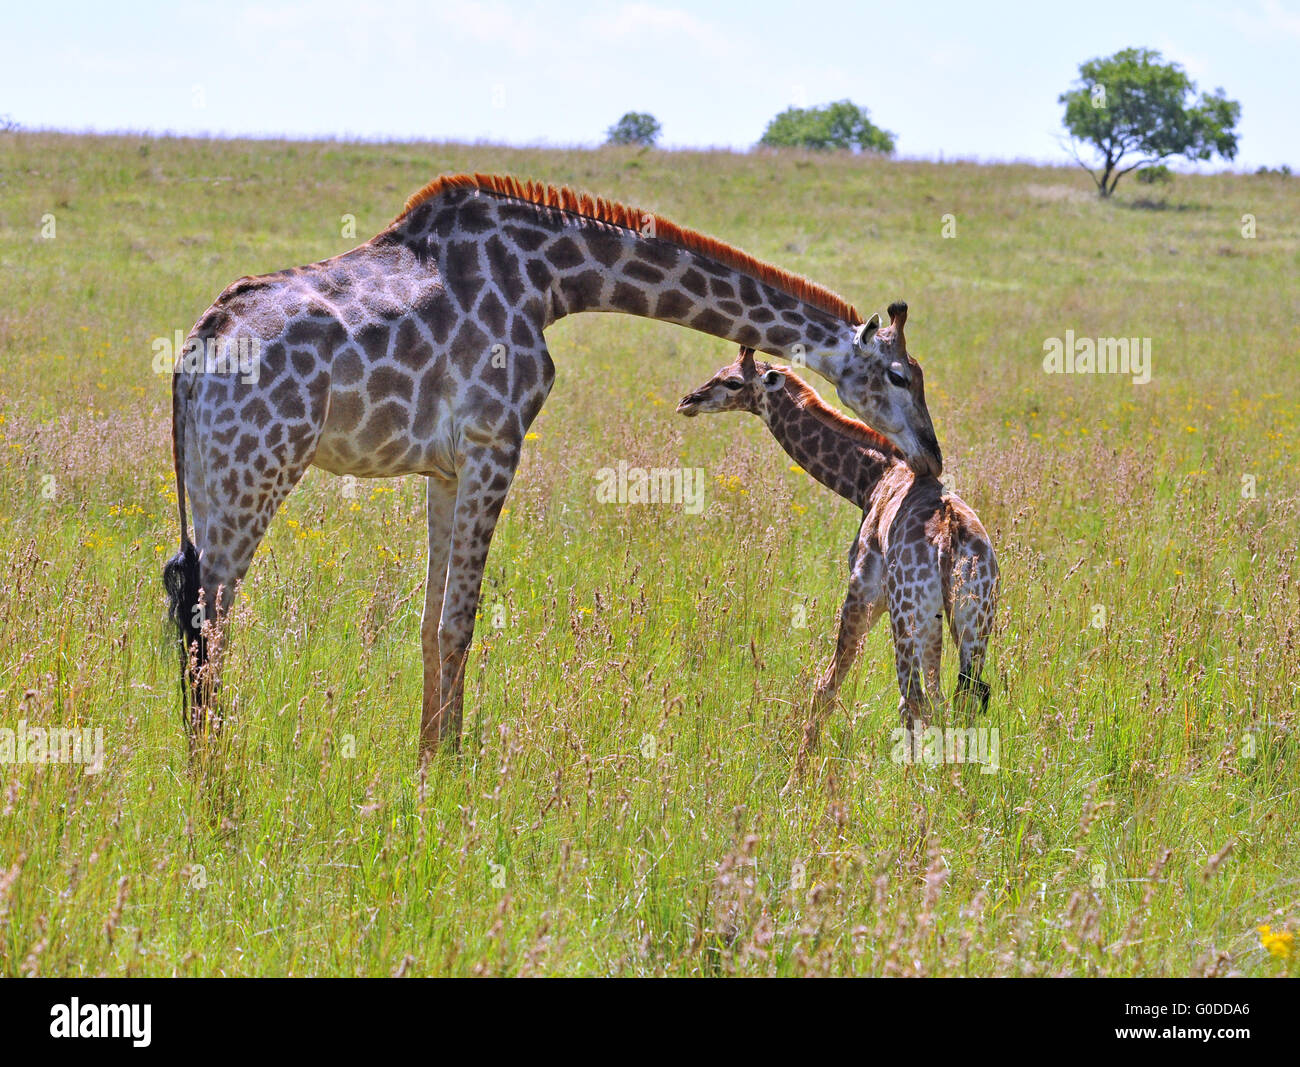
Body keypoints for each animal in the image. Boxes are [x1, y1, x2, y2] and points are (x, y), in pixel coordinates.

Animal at [162, 173, 945, 762]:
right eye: (901, 375)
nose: (932, 456)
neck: (550, 279)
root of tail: (198, 343)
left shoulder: (446, 468)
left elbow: (430, 619)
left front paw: (426, 757)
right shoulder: (495, 440)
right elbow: (461, 620)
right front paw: (450, 770)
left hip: (210, 476)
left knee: (184, 591)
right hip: (259, 466)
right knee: (211, 614)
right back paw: (217, 778)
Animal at [675, 326, 998, 787]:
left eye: (733, 382)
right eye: (718, 371)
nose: (689, 401)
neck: (869, 479)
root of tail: (952, 538)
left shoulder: (863, 594)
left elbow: (826, 684)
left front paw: (794, 778)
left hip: (908, 612)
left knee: (913, 698)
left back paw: (909, 787)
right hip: (974, 616)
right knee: (964, 696)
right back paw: (956, 784)